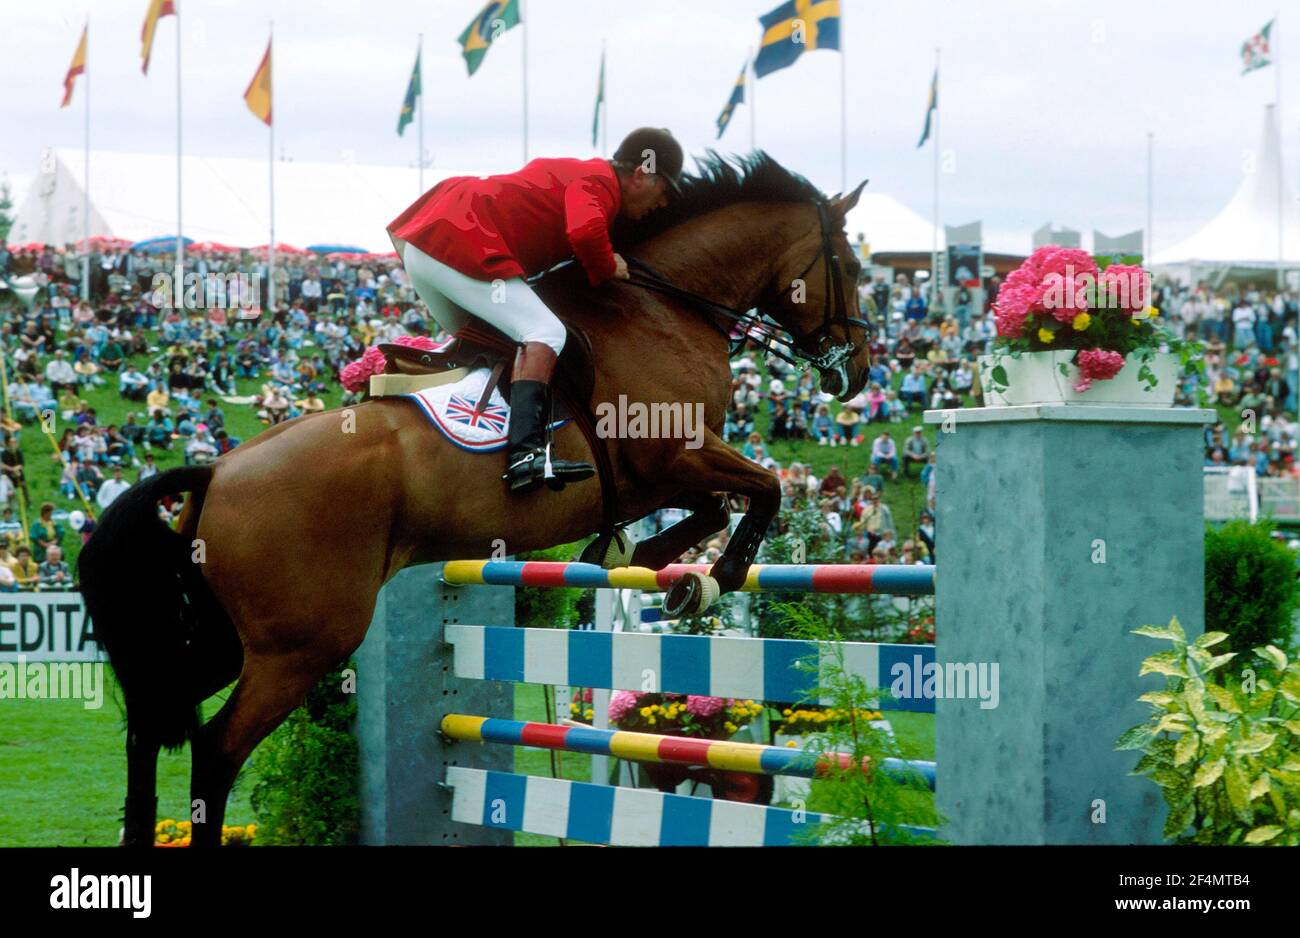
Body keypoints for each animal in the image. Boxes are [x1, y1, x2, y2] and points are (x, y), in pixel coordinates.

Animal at [78, 153, 872, 846]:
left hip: (228, 634)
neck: (662, 306)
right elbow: (761, 490)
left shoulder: (668, 471)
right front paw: (707, 578)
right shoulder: (670, 455)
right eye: (854, 268)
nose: (857, 375)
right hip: (302, 644)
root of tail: (217, 471)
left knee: (150, 726)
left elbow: (716, 507)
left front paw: (646, 561)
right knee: (215, 751)